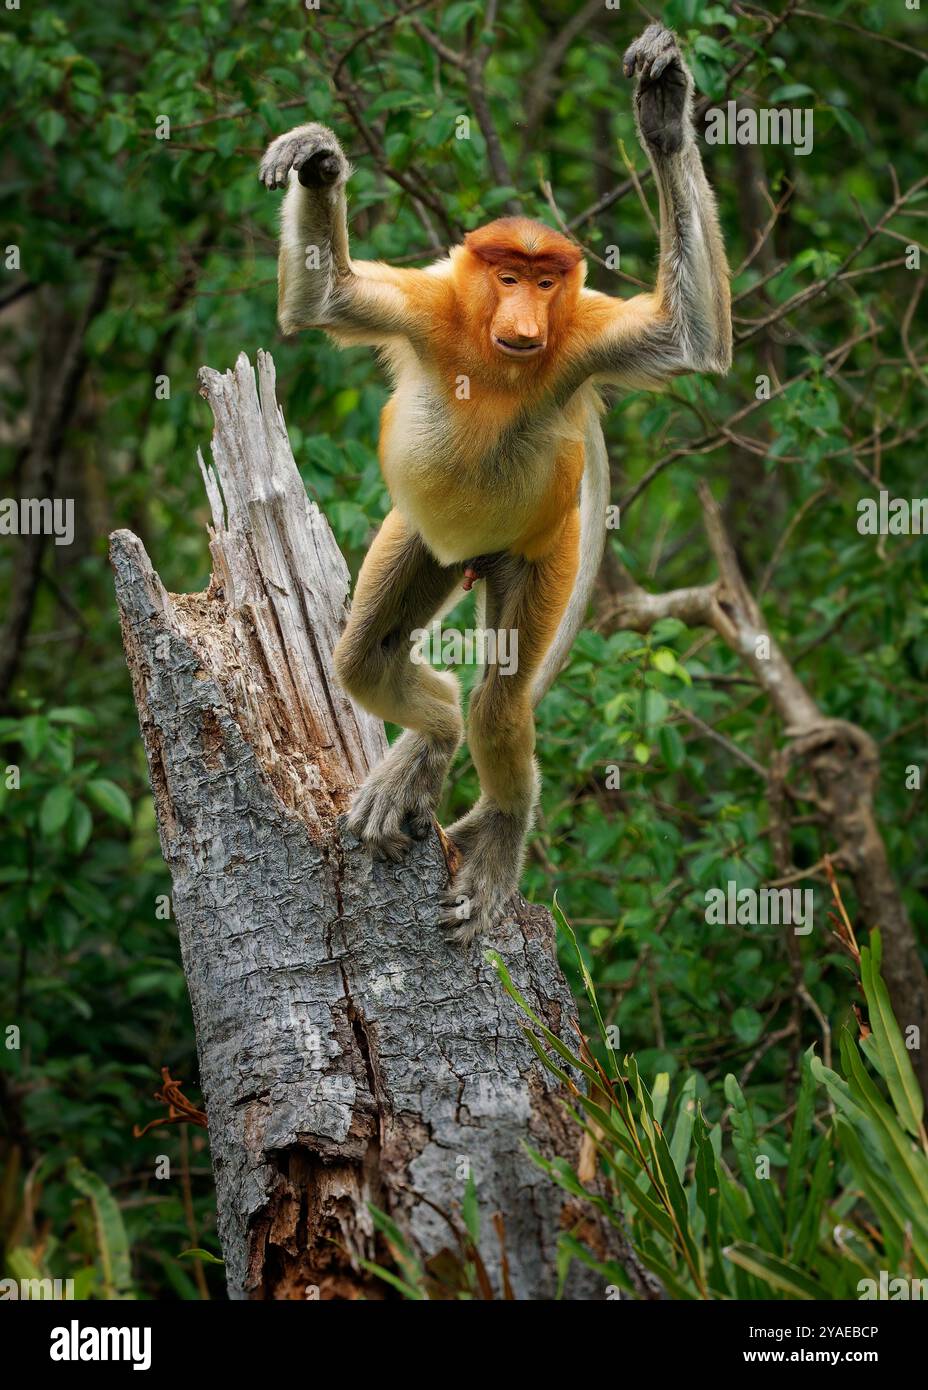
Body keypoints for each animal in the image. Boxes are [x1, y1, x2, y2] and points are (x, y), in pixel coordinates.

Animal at [259, 24, 731, 944]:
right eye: (507, 274)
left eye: (548, 280)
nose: (524, 318)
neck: (494, 350)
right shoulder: (427, 306)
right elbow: (326, 300)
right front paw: (318, 161)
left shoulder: (581, 339)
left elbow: (688, 338)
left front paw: (663, 115)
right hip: (422, 541)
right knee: (365, 654)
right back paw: (433, 727)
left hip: (540, 551)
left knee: (501, 705)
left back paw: (486, 802)